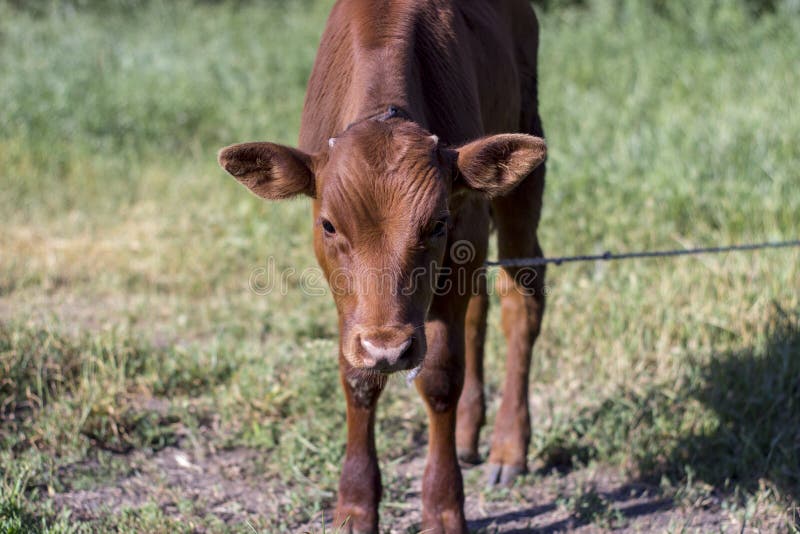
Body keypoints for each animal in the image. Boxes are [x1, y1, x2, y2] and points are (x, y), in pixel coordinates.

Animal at [218, 1, 547, 532]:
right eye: (329, 225)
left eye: (436, 223)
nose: (390, 349)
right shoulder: (347, 296)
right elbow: (357, 377)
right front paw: (354, 506)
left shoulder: (464, 231)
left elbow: (440, 377)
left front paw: (443, 508)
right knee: (479, 309)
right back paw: (468, 433)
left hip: (523, 162)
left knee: (523, 298)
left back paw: (508, 447)